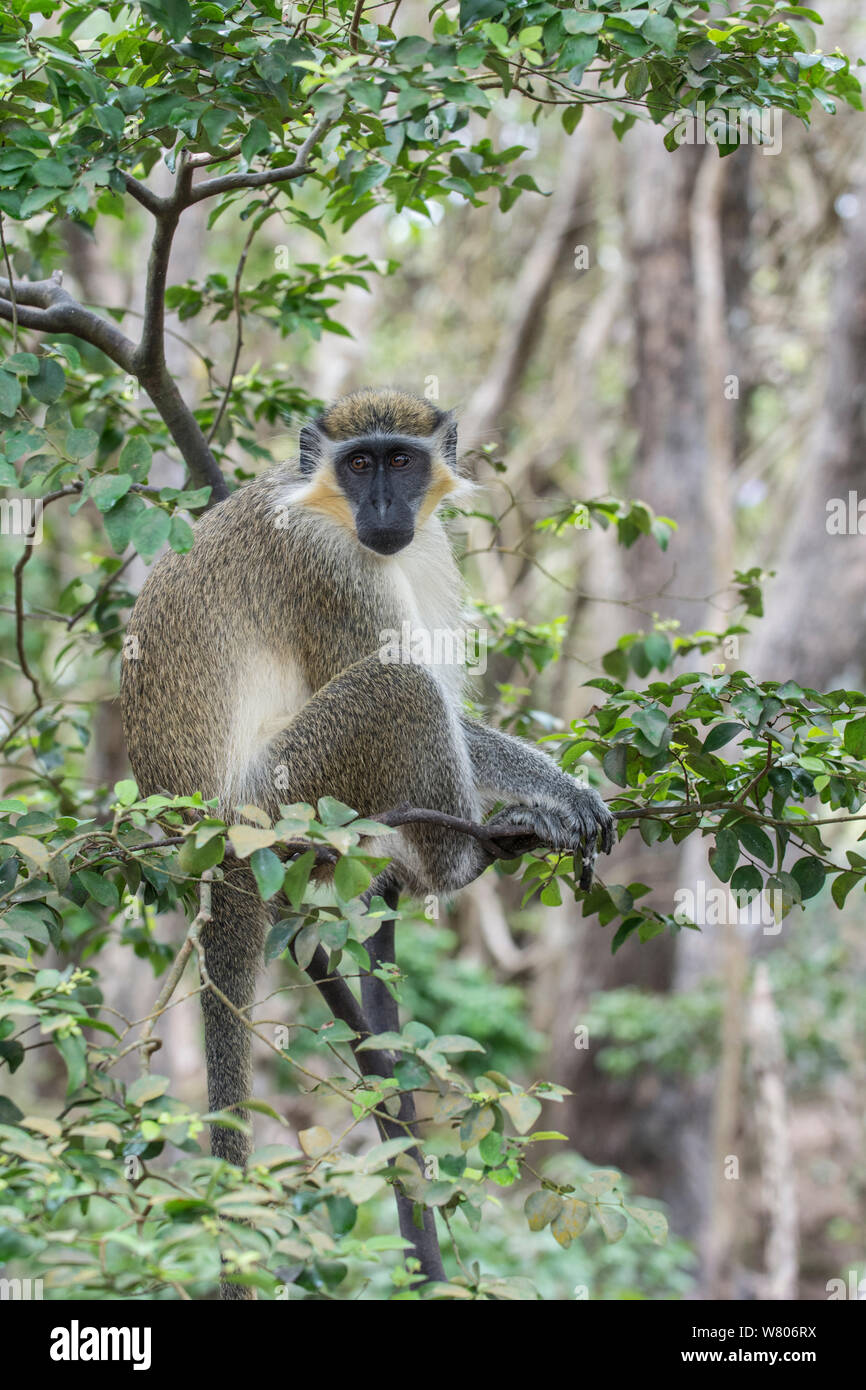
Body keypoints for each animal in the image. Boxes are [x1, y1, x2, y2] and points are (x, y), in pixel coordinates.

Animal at [120, 388, 614, 1285]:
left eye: (400, 461)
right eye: (358, 464)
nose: (383, 507)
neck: (330, 509)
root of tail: (206, 838)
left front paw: (558, 785)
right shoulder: (328, 567)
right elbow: (420, 689)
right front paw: (538, 803)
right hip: (282, 794)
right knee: (400, 685)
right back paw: (457, 859)